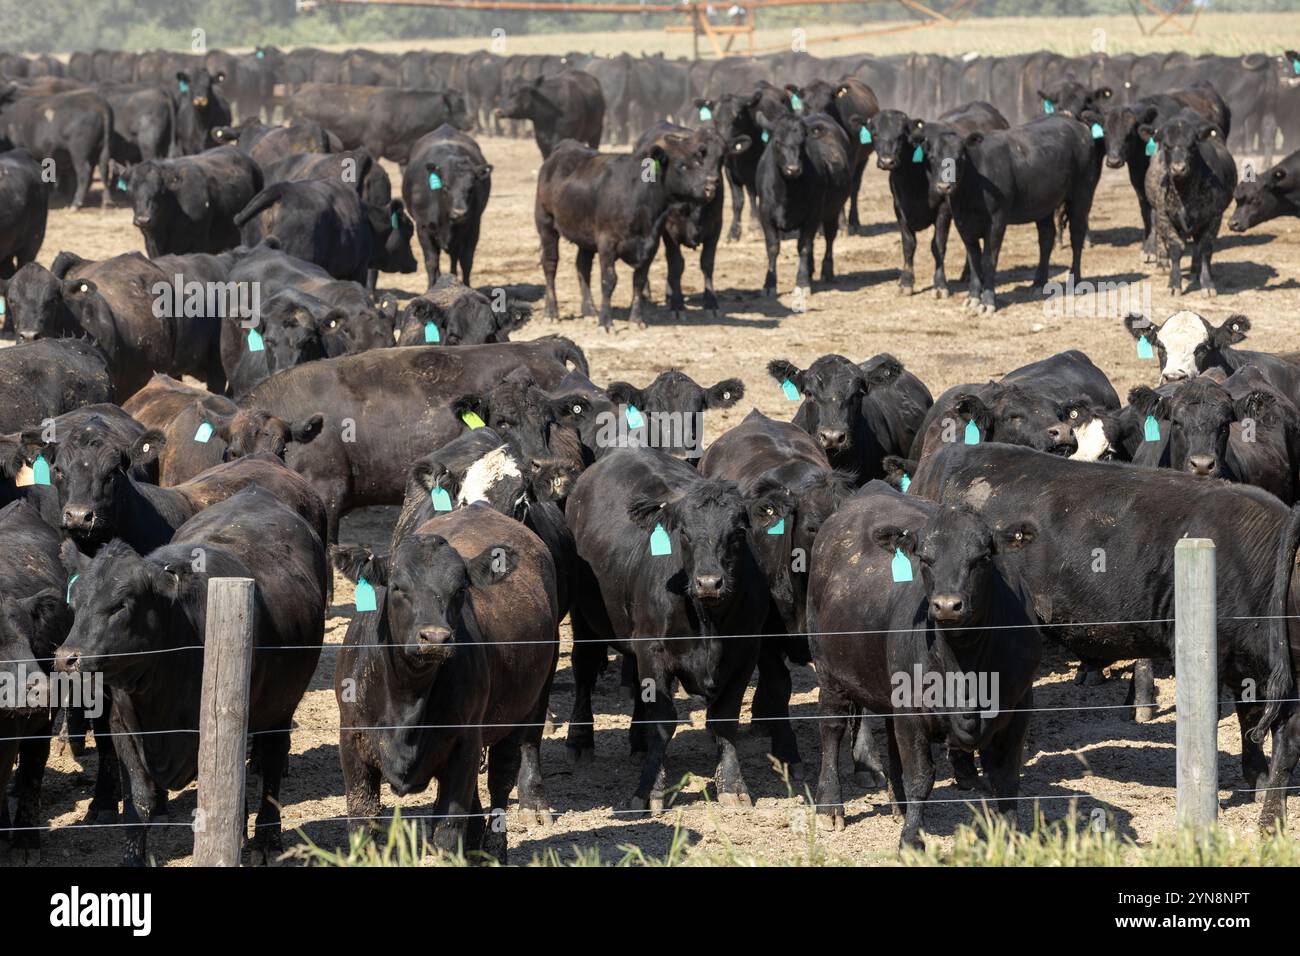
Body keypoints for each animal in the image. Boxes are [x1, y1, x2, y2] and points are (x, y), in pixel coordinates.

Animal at [56, 486, 326, 865]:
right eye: (75, 602)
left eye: (122, 604)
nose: (67, 658)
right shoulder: (123, 728)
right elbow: (138, 800)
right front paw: (133, 856)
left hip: (281, 703)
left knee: (272, 762)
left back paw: (266, 839)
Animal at [332, 504, 558, 862]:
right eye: (397, 586)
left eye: (460, 590)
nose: (435, 637)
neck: (406, 695)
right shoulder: (352, 743)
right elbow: (363, 823)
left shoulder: (463, 745)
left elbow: (448, 830)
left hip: (532, 699)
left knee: (506, 776)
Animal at [808, 482, 1041, 846]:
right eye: (925, 558)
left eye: (982, 558)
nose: (946, 606)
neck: (965, 662)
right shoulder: (912, 710)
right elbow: (921, 776)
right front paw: (911, 840)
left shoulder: (1019, 705)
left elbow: (1005, 777)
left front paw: (1011, 837)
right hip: (829, 669)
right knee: (831, 727)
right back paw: (830, 806)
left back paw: (899, 805)